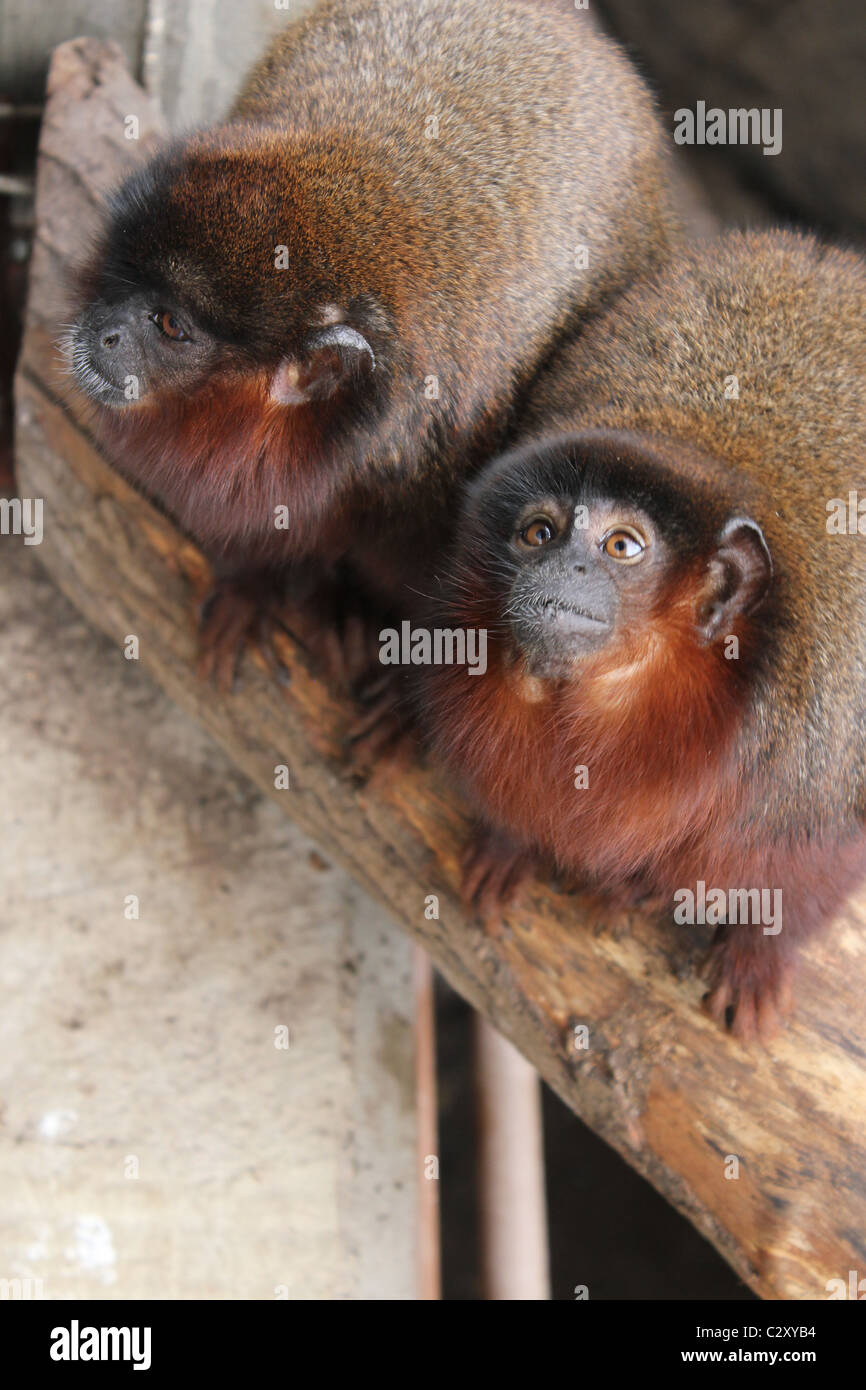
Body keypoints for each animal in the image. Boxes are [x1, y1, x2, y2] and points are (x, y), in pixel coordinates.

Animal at [409, 229, 866, 1039]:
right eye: (538, 532)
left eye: (622, 546)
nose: (559, 566)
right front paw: (511, 845)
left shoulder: (813, 751)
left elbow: (813, 861)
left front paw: (759, 952)